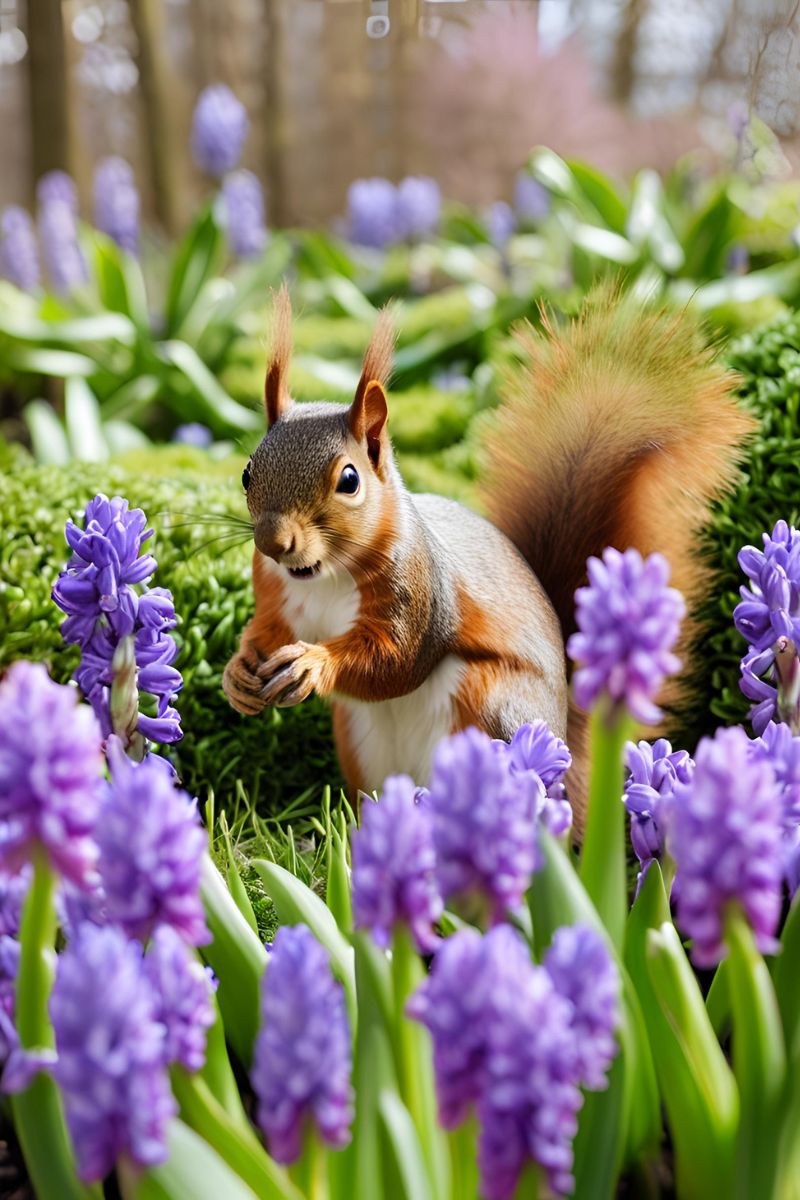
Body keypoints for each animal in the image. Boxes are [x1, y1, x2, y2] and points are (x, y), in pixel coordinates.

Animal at [222, 285, 752, 826]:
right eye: (247, 472)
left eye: (349, 480)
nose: (273, 542)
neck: (324, 575)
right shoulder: (275, 592)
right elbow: (268, 634)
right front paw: (237, 672)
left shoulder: (418, 590)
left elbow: (396, 661)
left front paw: (313, 663)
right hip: (357, 738)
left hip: (488, 702)